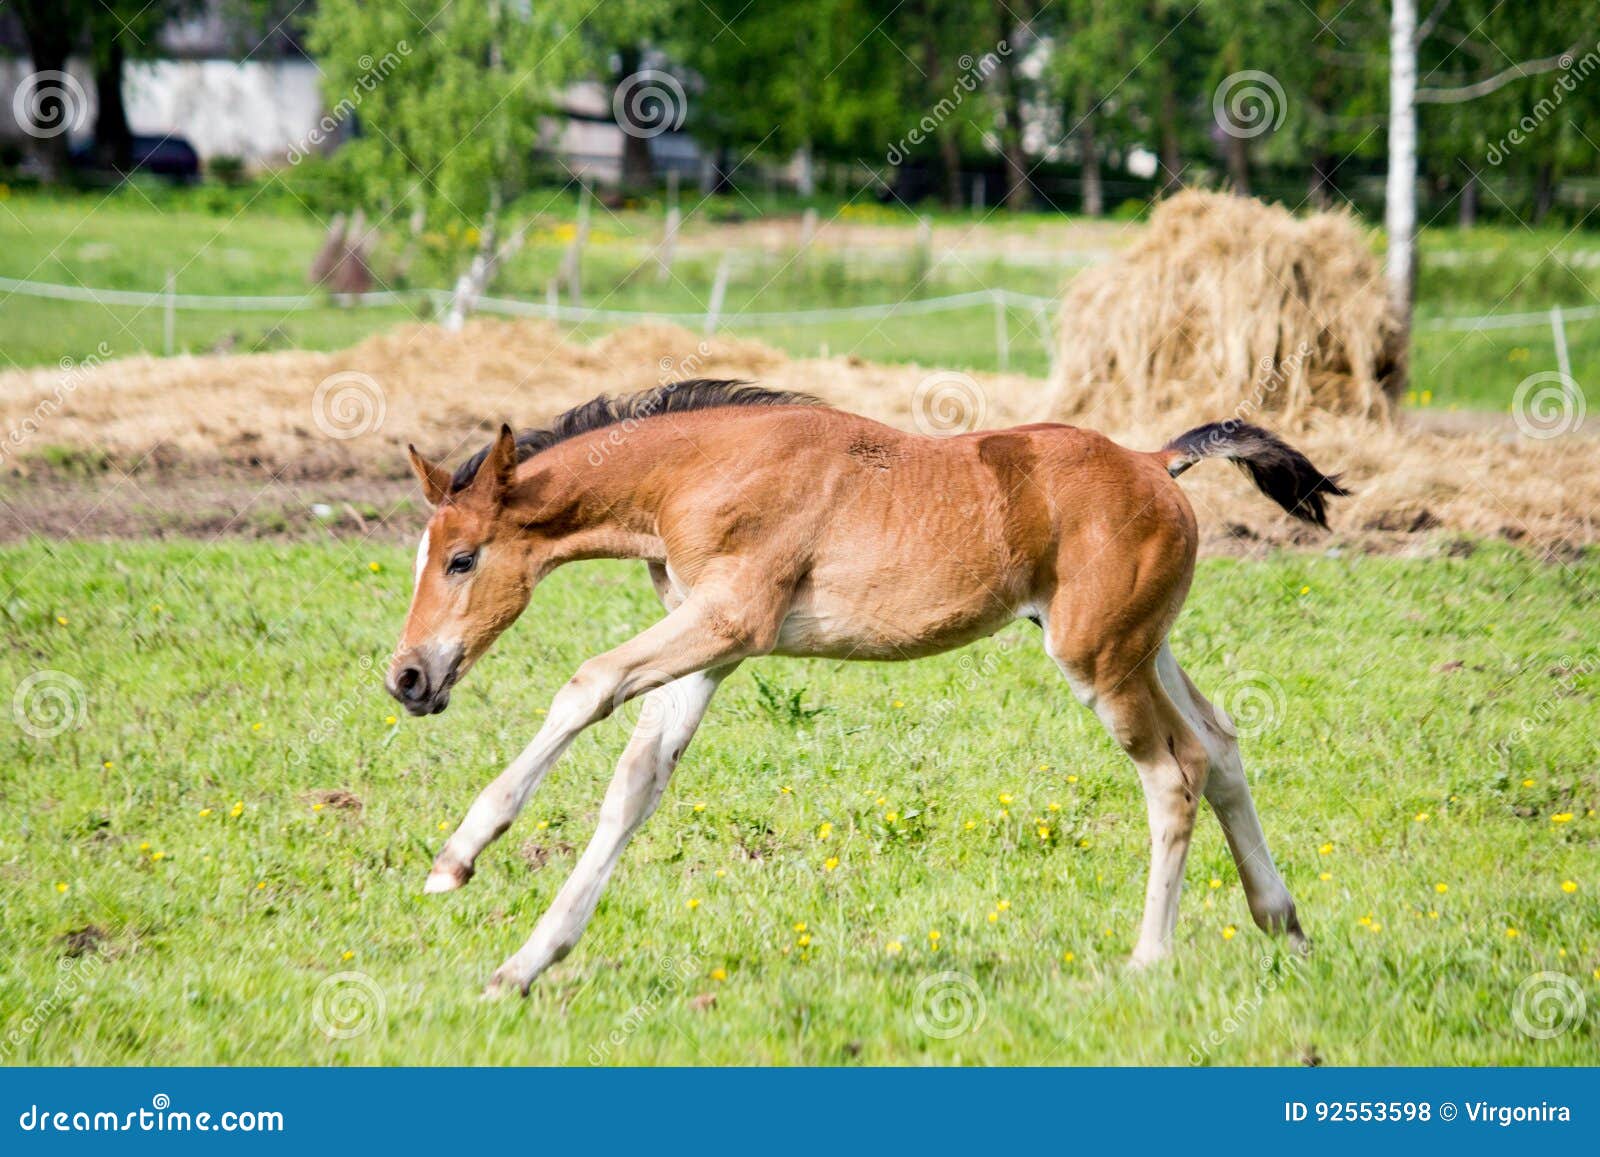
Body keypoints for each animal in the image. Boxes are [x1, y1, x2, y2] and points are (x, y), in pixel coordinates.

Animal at [387, 380, 1345, 995]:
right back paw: (1285, 925)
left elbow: (586, 685)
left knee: (1175, 773)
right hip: (1147, 648)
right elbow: (635, 784)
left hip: (1099, 661)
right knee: (1222, 745)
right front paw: (523, 963)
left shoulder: (731, 619)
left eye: (463, 558)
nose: (407, 677)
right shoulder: (711, 645)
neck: (698, 469)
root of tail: (1156, 462)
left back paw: (1148, 961)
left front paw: (456, 856)